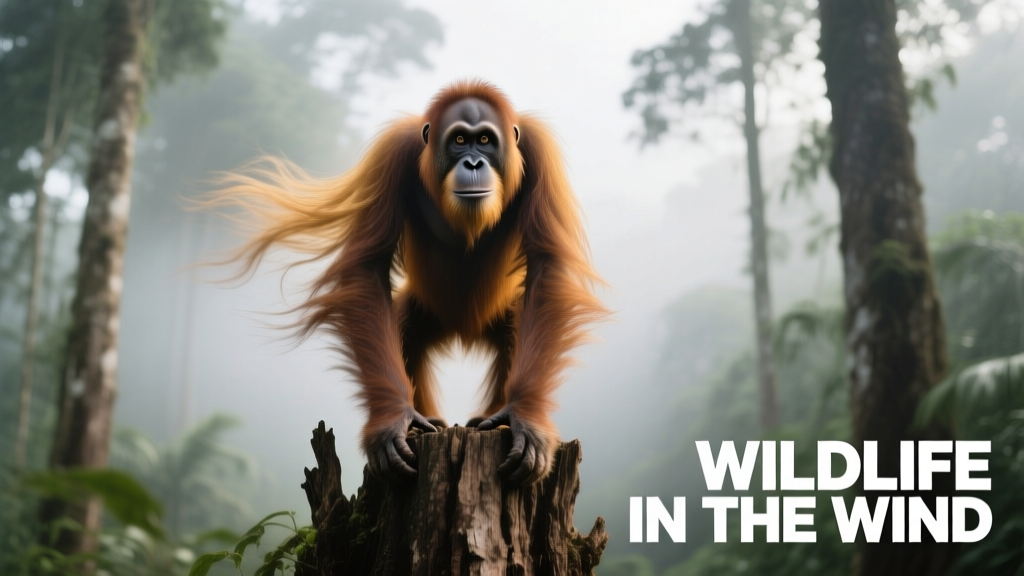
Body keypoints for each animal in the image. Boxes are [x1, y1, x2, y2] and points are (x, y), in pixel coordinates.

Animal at [210, 80, 607, 484]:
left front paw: (525, 420)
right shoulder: (393, 151)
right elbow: (367, 266)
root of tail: (464, 330)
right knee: (405, 335)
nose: (473, 163)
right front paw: (392, 422)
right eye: (460, 140)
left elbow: (547, 265)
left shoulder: (540, 151)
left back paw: (491, 418)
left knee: (515, 330)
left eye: (485, 140)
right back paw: (426, 420)